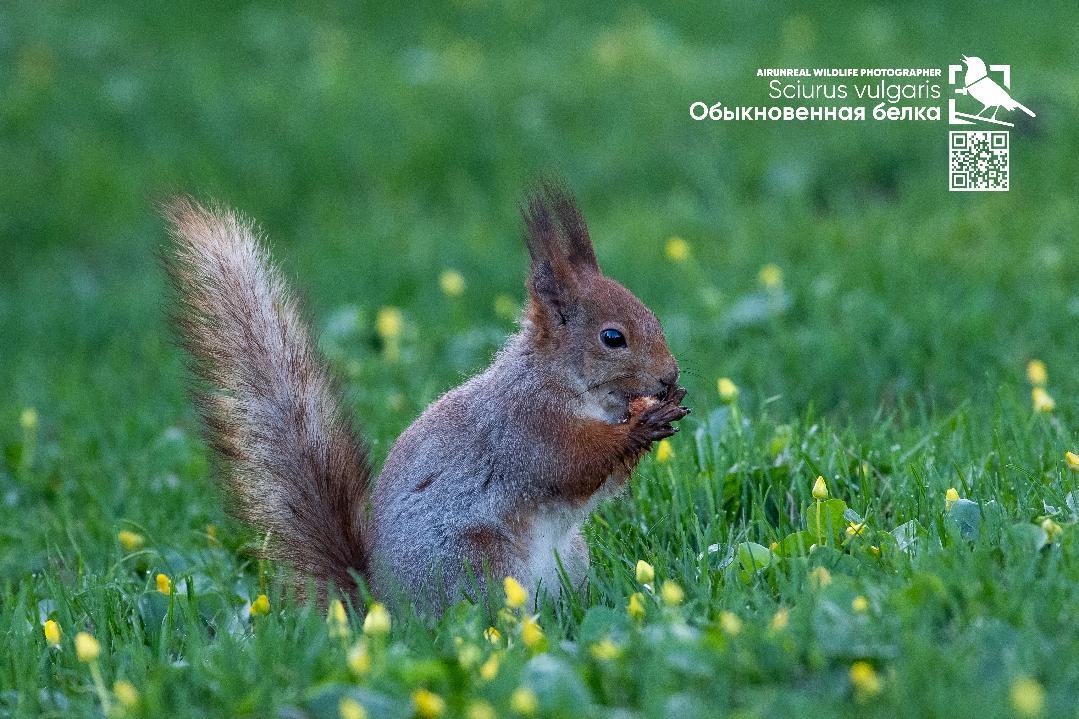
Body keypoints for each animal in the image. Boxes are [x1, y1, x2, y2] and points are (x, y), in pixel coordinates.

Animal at [164, 182, 686, 608]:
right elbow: (573, 463)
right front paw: (642, 425)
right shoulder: (525, 426)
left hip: (569, 559)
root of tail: (384, 606)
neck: (564, 383)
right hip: (480, 564)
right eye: (612, 338)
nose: (669, 376)